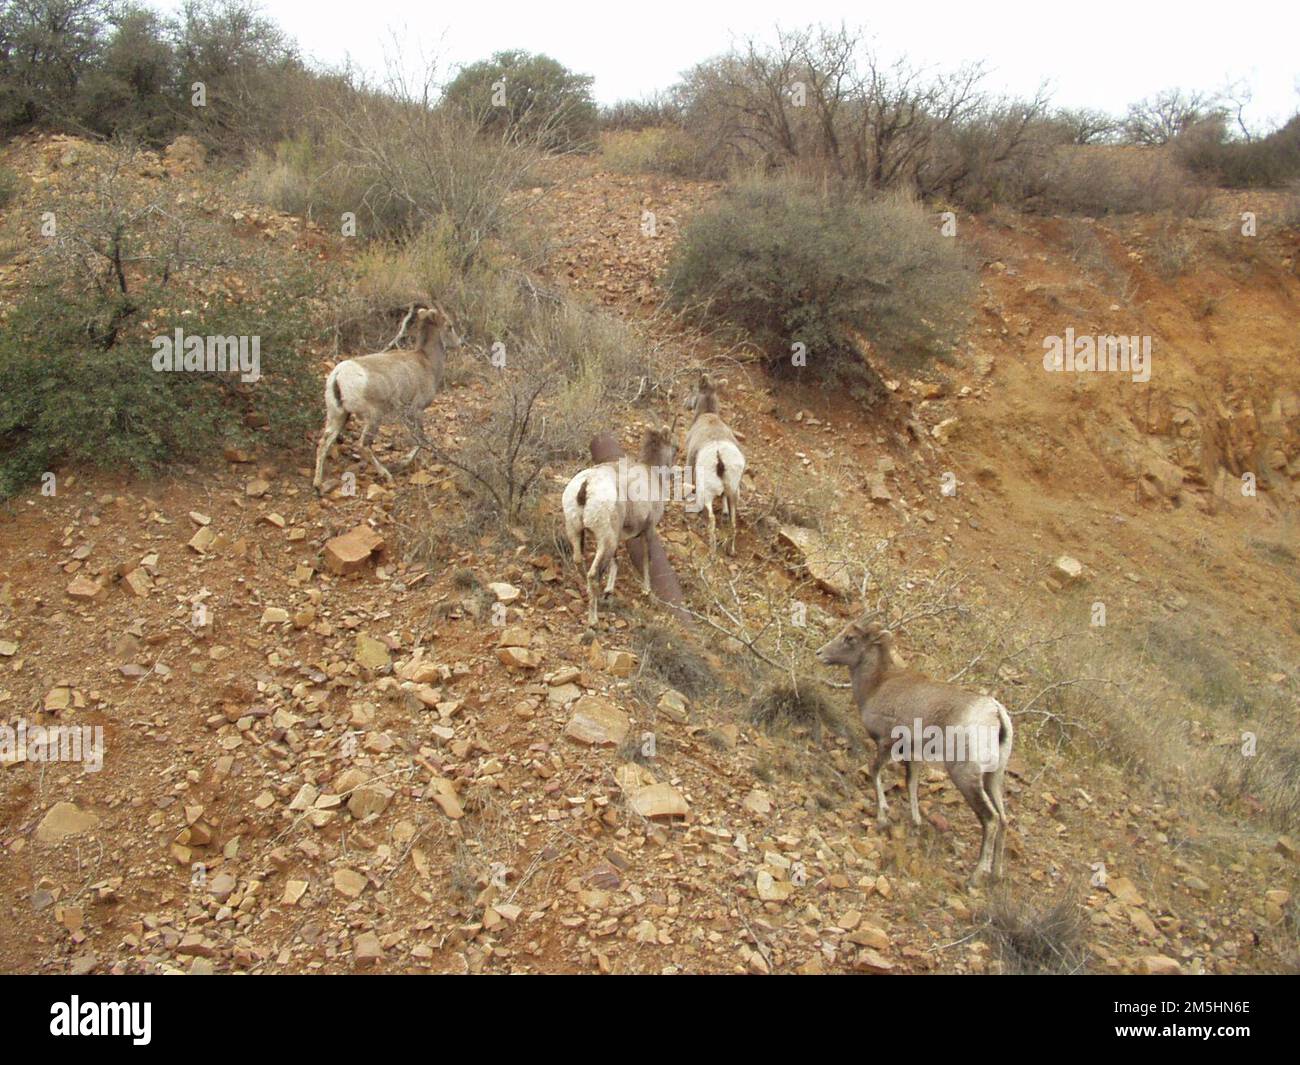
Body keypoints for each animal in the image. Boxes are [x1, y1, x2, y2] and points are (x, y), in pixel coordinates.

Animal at [311, 305, 462, 492]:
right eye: (449, 326)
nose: (459, 343)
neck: (426, 362)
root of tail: (338, 375)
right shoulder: (415, 410)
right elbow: (420, 439)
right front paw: (403, 463)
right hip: (374, 416)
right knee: (363, 445)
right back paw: (386, 474)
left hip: (338, 415)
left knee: (324, 443)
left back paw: (318, 483)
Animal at [562, 427, 676, 627]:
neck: (652, 474)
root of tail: (586, 486)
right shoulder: (648, 531)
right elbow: (647, 560)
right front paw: (647, 591)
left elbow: (615, 562)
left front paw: (609, 591)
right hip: (606, 539)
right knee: (593, 574)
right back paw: (593, 620)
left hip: (577, 530)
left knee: (578, 560)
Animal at [683, 374, 746, 553]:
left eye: (692, 389)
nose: (685, 404)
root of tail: (720, 457)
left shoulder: (690, 459)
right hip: (734, 491)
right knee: (733, 522)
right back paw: (731, 550)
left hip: (708, 490)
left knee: (711, 519)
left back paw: (712, 550)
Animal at [816, 614, 1013, 885]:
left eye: (850, 638)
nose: (820, 653)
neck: (877, 685)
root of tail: (996, 714)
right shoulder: (914, 755)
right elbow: (911, 785)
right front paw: (916, 822)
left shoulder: (887, 744)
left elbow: (875, 771)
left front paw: (882, 816)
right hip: (993, 777)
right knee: (1003, 819)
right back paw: (996, 874)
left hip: (965, 776)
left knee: (991, 819)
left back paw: (975, 876)